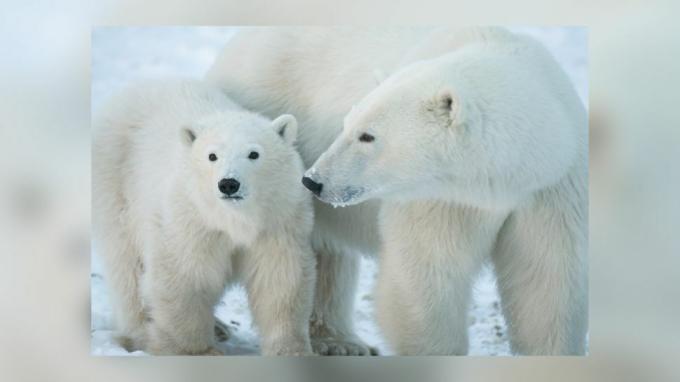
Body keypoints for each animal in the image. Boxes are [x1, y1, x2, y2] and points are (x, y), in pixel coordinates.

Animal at [91, 79, 318, 356]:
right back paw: (140, 332)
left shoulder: (278, 221)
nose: (229, 184)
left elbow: (279, 279)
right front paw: (194, 351)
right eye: (212, 156)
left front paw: (290, 350)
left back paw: (219, 328)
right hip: (115, 184)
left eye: (254, 154)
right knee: (126, 265)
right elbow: (183, 276)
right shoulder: (191, 220)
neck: (233, 218)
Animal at [205, 26, 588, 356]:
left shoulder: (550, 190)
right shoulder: (439, 198)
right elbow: (428, 276)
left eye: (367, 135)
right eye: (346, 124)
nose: (313, 180)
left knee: (326, 250)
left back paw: (340, 341)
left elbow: (545, 286)